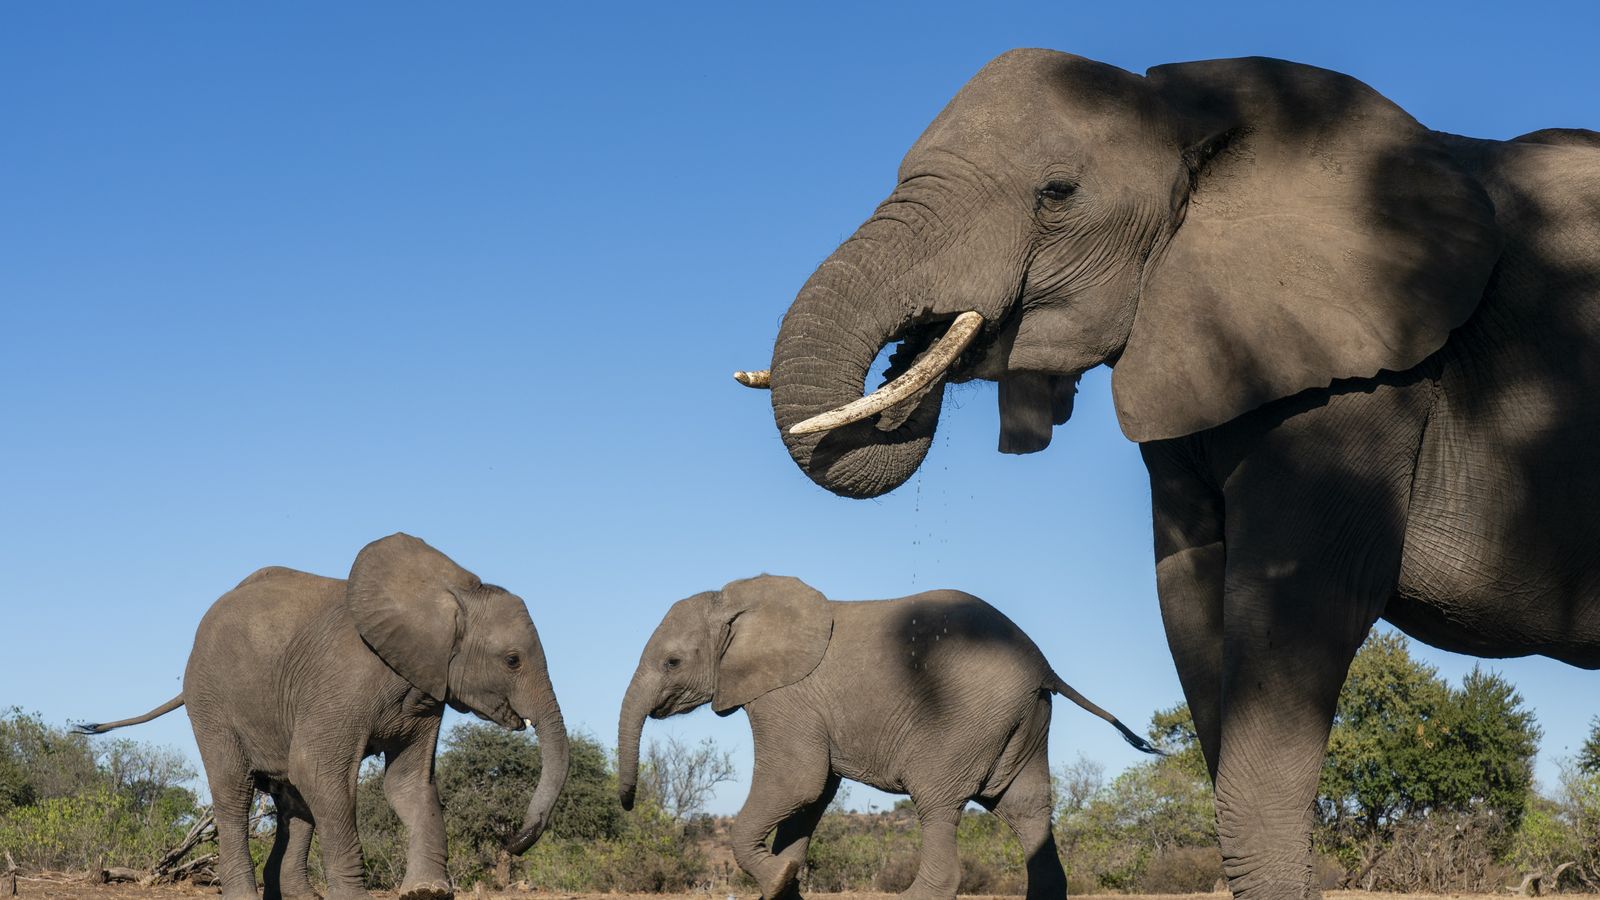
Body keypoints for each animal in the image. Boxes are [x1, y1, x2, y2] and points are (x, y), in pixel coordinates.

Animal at [79, 533, 568, 900]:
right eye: (512, 660)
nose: (514, 841)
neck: (448, 592)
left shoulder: (427, 690)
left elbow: (407, 784)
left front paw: (427, 892)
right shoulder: (344, 681)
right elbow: (318, 770)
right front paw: (359, 897)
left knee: (293, 801)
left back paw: (297, 896)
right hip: (211, 699)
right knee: (235, 792)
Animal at [615, 574, 1159, 900]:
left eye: (672, 662)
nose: (627, 803)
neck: (739, 601)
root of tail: (1043, 663)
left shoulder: (784, 697)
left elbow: (799, 782)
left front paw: (779, 879)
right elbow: (813, 797)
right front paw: (785, 884)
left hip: (963, 720)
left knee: (937, 802)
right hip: (1026, 720)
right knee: (1027, 808)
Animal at [733, 49, 1600, 900]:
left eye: (1057, 193)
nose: (916, 346)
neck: (1195, 116)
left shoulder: (1368, 379)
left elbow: (1300, 607)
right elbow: (1189, 596)